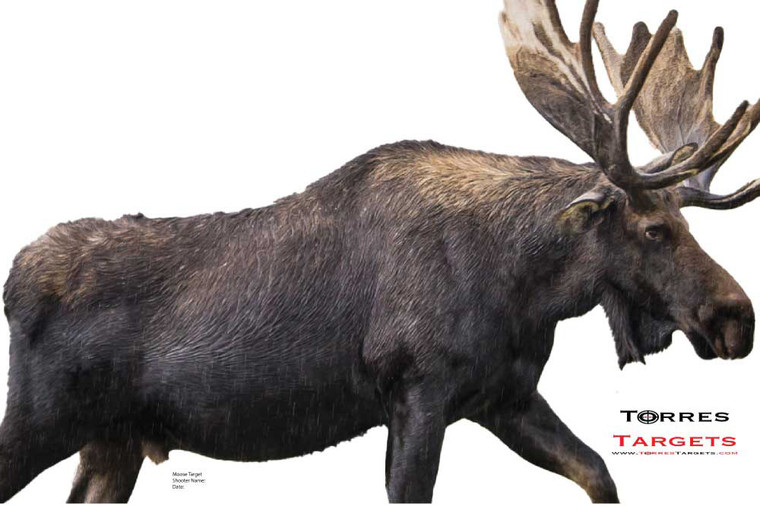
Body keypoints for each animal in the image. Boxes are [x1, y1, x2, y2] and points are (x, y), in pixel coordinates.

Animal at [0, 0, 757, 503]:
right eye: (654, 230)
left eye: (684, 224)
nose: (736, 319)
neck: (525, 289)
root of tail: (13, 276)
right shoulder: (417, 391)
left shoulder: (506, 396)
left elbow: (599, 471)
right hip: (40, 421)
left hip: (113, 439)